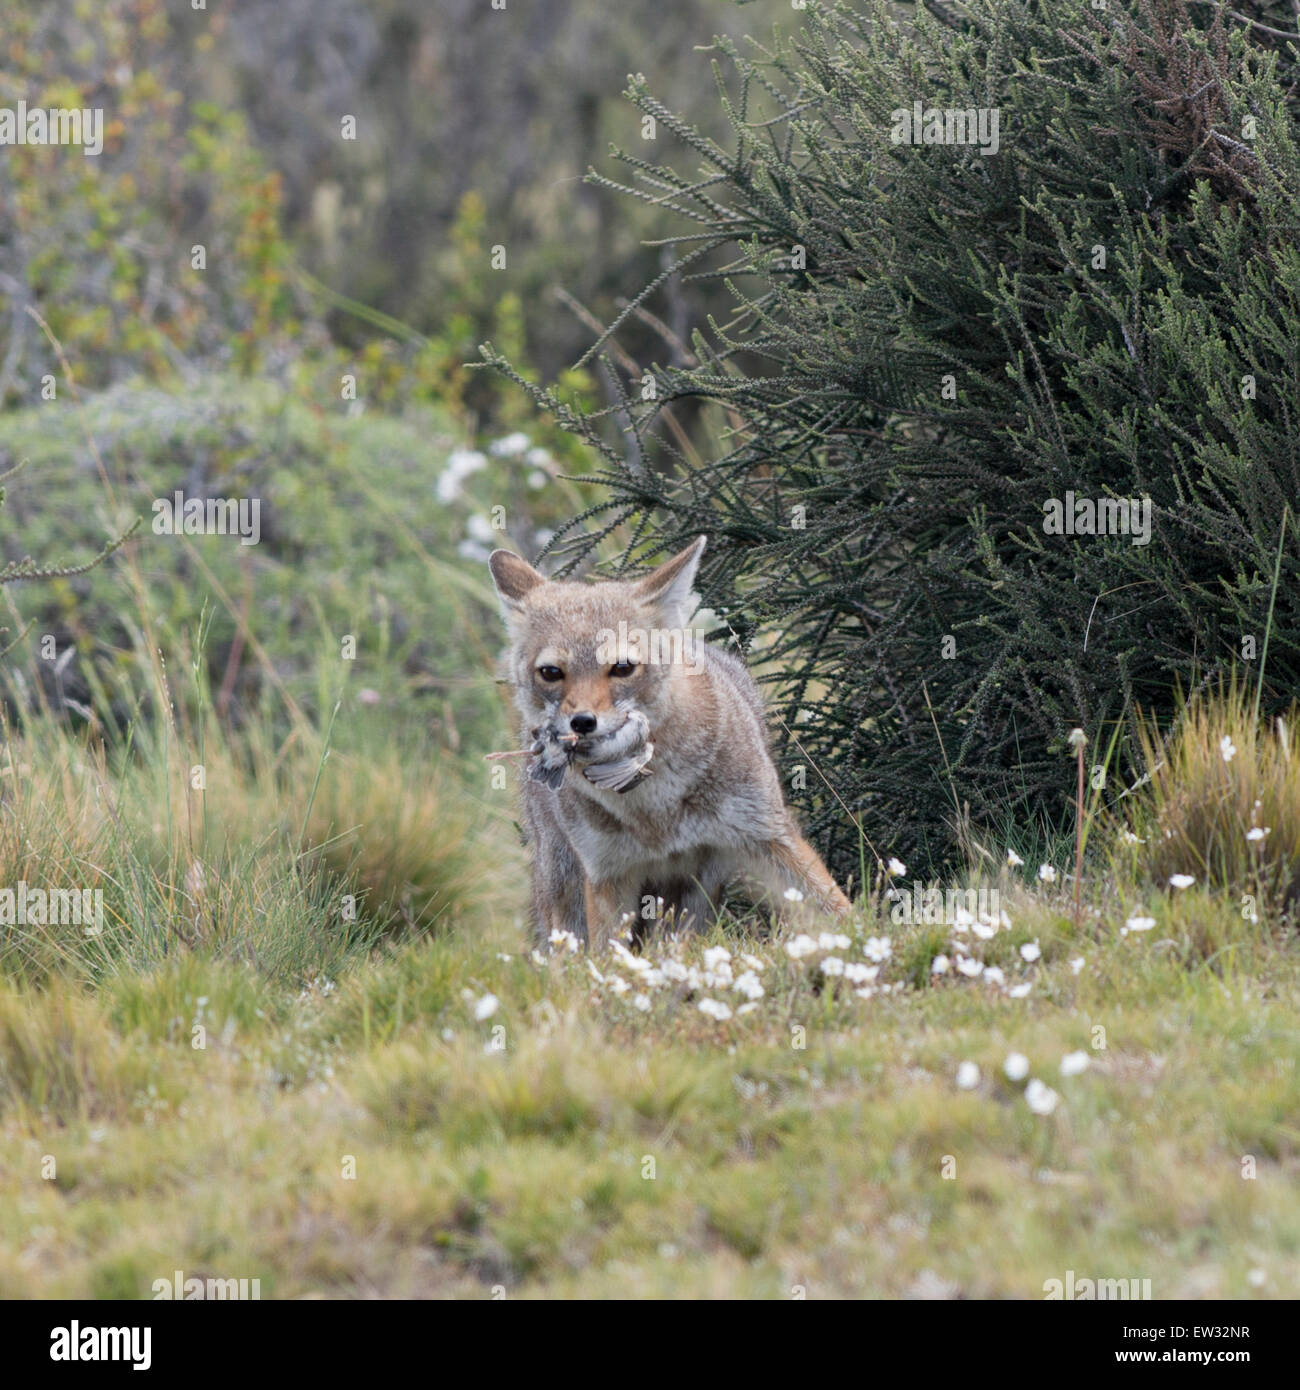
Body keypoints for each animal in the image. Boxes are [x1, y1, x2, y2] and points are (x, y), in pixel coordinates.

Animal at [488, 535, 851, 950]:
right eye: (551, 673)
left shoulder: (767, 835)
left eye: (622, 667)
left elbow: (837, 909)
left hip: (696, 894)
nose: (581, 723)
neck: (653, 812)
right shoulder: (607, 873)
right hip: (569, 891)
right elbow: (609, 959)